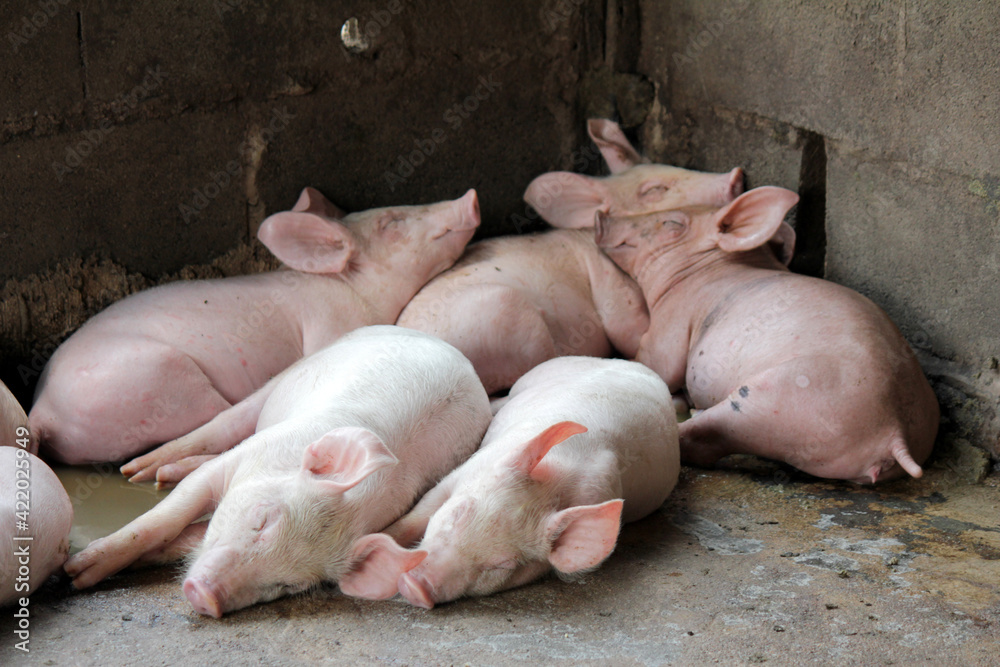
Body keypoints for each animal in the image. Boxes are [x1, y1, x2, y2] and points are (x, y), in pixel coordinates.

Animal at [30, 187, 480, 466]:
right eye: (392, 222)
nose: (471, 197)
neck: (353, 288)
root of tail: (41, 411)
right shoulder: (329, 324)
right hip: (157, 381)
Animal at [64, 326, 493, 617]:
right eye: (263, 520)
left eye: (286, 585)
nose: (206, 596)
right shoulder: (243, 459)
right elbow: (166, 517)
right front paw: (77, 572)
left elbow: (186, 538)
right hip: (290, 374)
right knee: (225, 423)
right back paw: (144, 472)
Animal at [377, 356, 679, 608]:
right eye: (459, 513)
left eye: (501, 566)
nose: (415, 586)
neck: (559, 483)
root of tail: (637, 365)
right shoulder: (467, 470)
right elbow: (420, 513)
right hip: (537, 375)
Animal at [592, 186, 939, 484]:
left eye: (673, 222)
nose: (601, 214)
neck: (705, 270)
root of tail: (895, 431)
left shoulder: (673, 321)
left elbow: (655, 361)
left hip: (779, 401)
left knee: (704, 439)